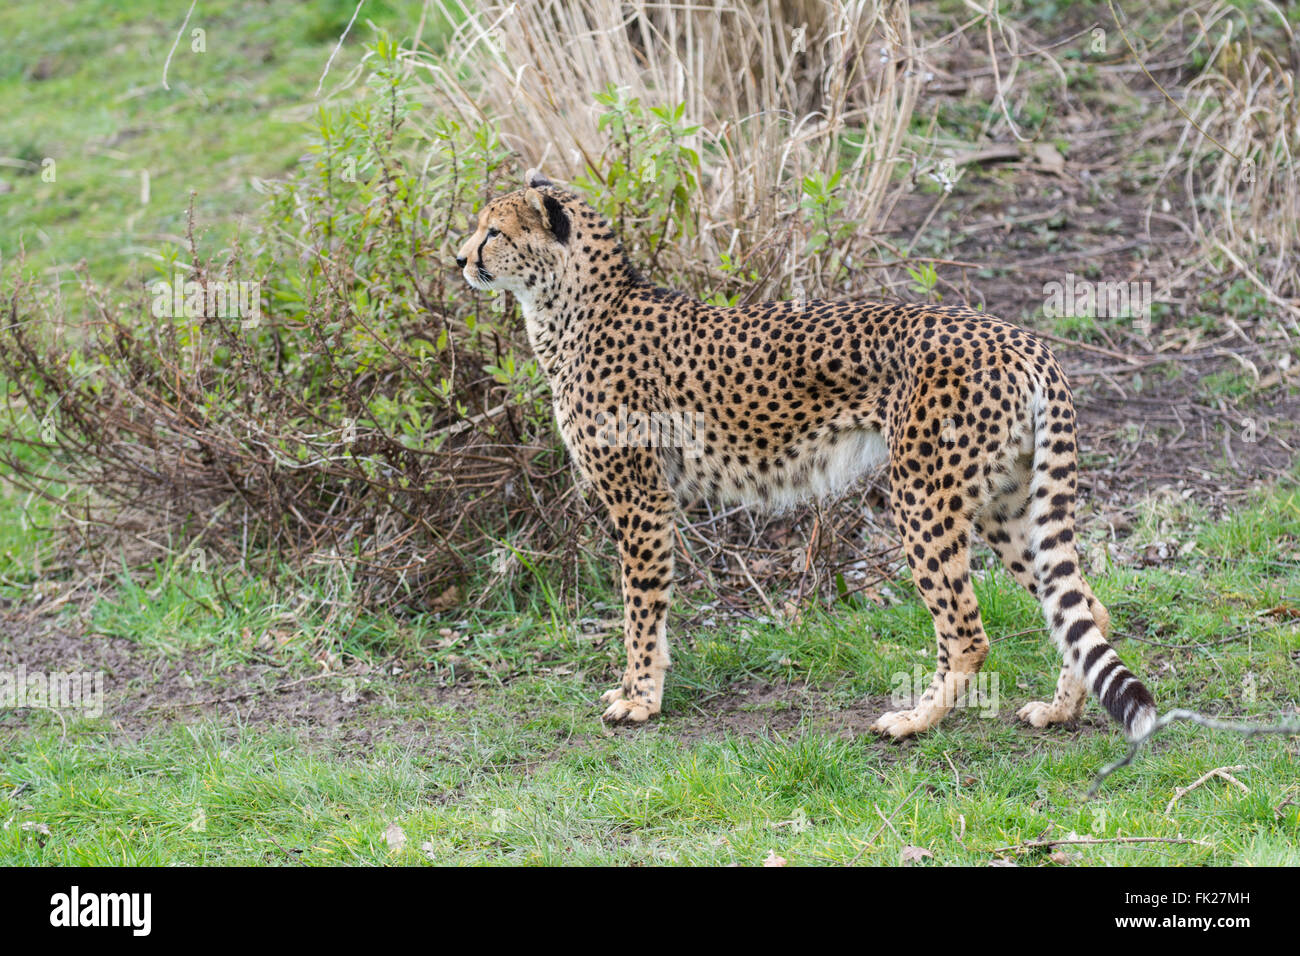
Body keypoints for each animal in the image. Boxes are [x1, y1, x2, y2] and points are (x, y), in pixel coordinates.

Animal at [455, 170, 1158, 742]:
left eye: (493, 231)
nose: (460, 257)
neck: (573, 308)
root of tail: (1017, 335)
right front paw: (636, 690)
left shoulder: (641, 499)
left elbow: (641, 605)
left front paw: (640, 699)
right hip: (1003, 499)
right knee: (1083, 604)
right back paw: (1060, 709)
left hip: (922, 496)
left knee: (966, 629)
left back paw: (915, 719)